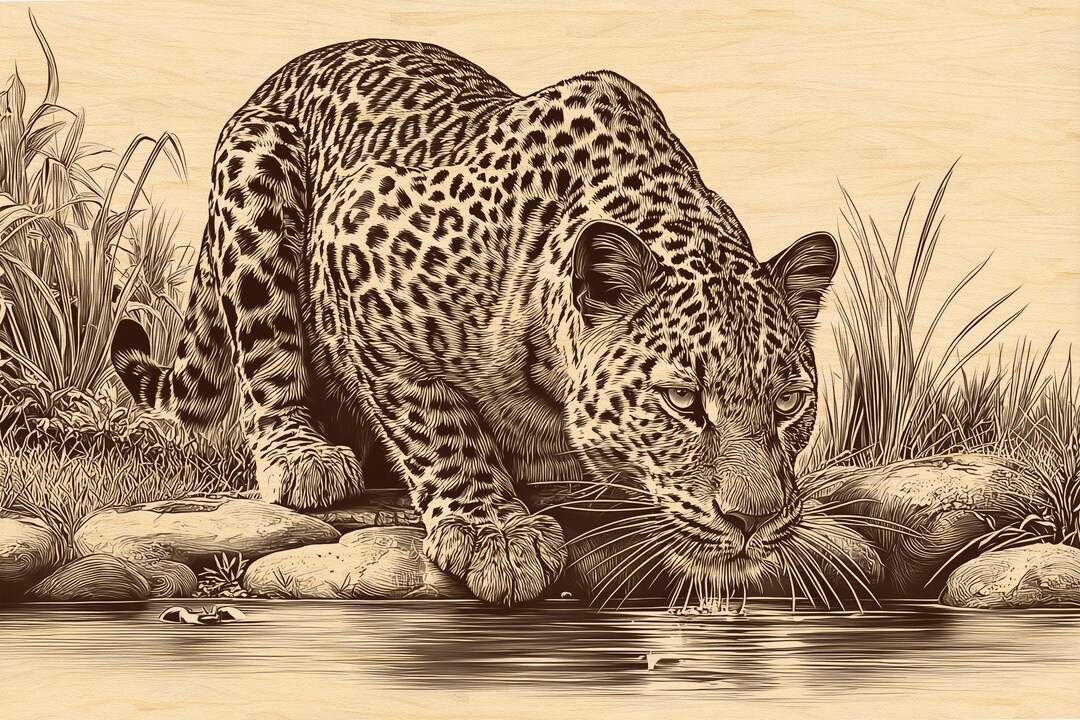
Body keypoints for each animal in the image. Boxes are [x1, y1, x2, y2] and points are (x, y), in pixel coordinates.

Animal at [111, 38, 842, 607]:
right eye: (682, 401)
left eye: (789, 404)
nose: (754, 521)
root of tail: (285, 72)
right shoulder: (354, 234)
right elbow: (434, 420)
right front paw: (494, 532)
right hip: (258, 186)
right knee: (267, 359)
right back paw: (305, 456)